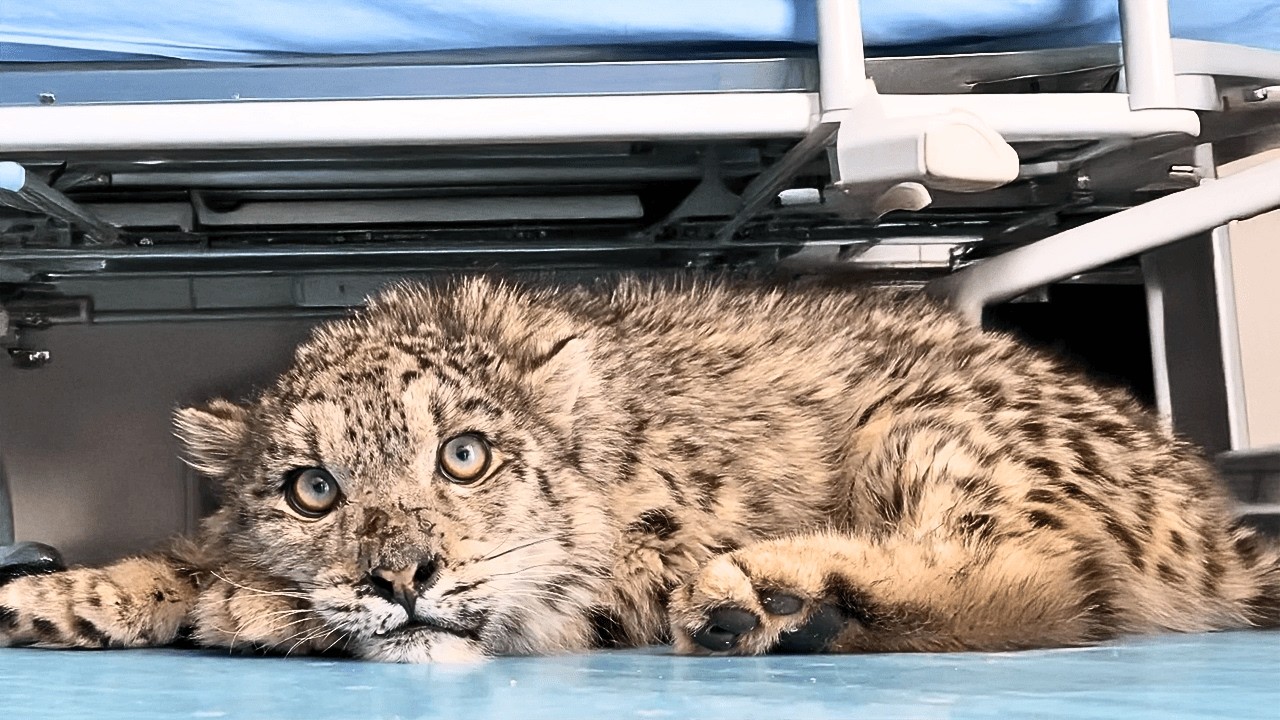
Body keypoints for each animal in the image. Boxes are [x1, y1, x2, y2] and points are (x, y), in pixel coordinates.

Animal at [2, 274, 1278, 663]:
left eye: (463, 454)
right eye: (310, 486)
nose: (399, 577)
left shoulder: (639, 556)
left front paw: (254, 607)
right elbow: (172, 553)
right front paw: (53, 597)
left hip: (926, 432)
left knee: (1044, 583)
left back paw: (786, 594)